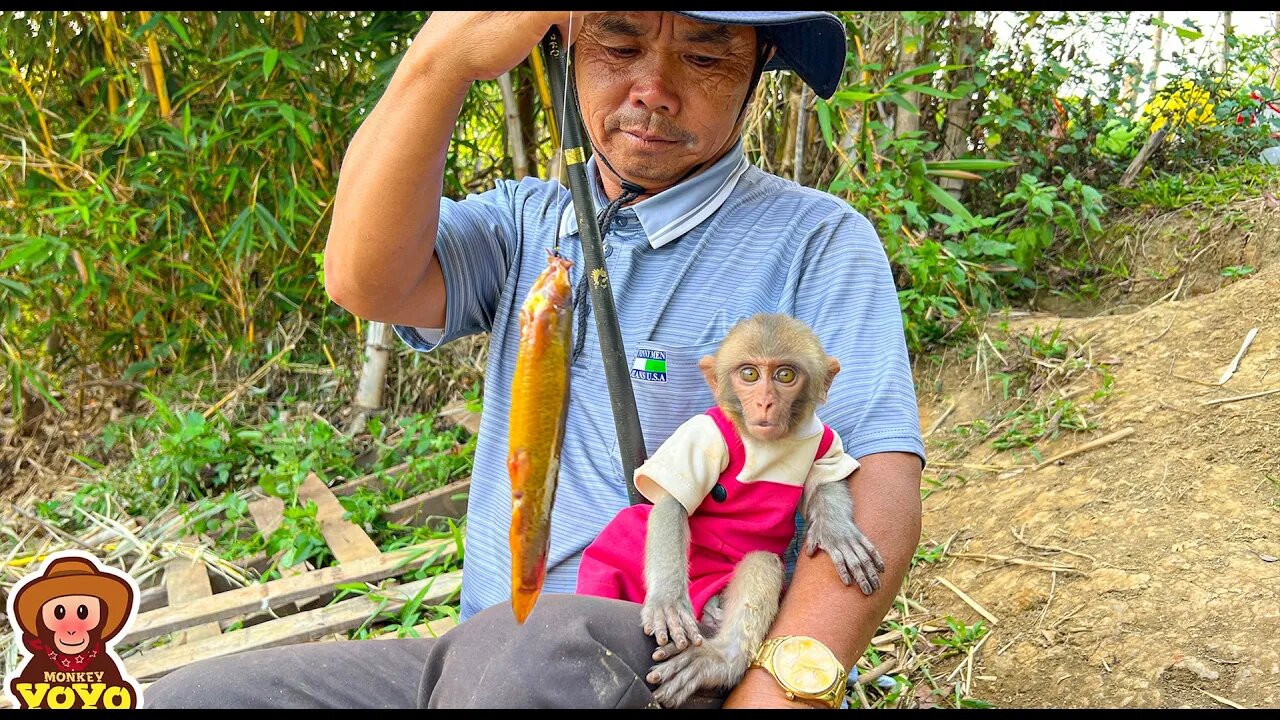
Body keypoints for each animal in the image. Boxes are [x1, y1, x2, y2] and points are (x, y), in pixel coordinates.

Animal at [575, 312, 884, 708]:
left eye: (785, 375)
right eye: (749, 374)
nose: (764, 403)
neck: (766, 445)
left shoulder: (821, 437)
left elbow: (824, 482)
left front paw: (837, 531)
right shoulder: (702, 434)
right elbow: (672, 503)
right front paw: (667, 601)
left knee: (761, 561)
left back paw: (719, 661)